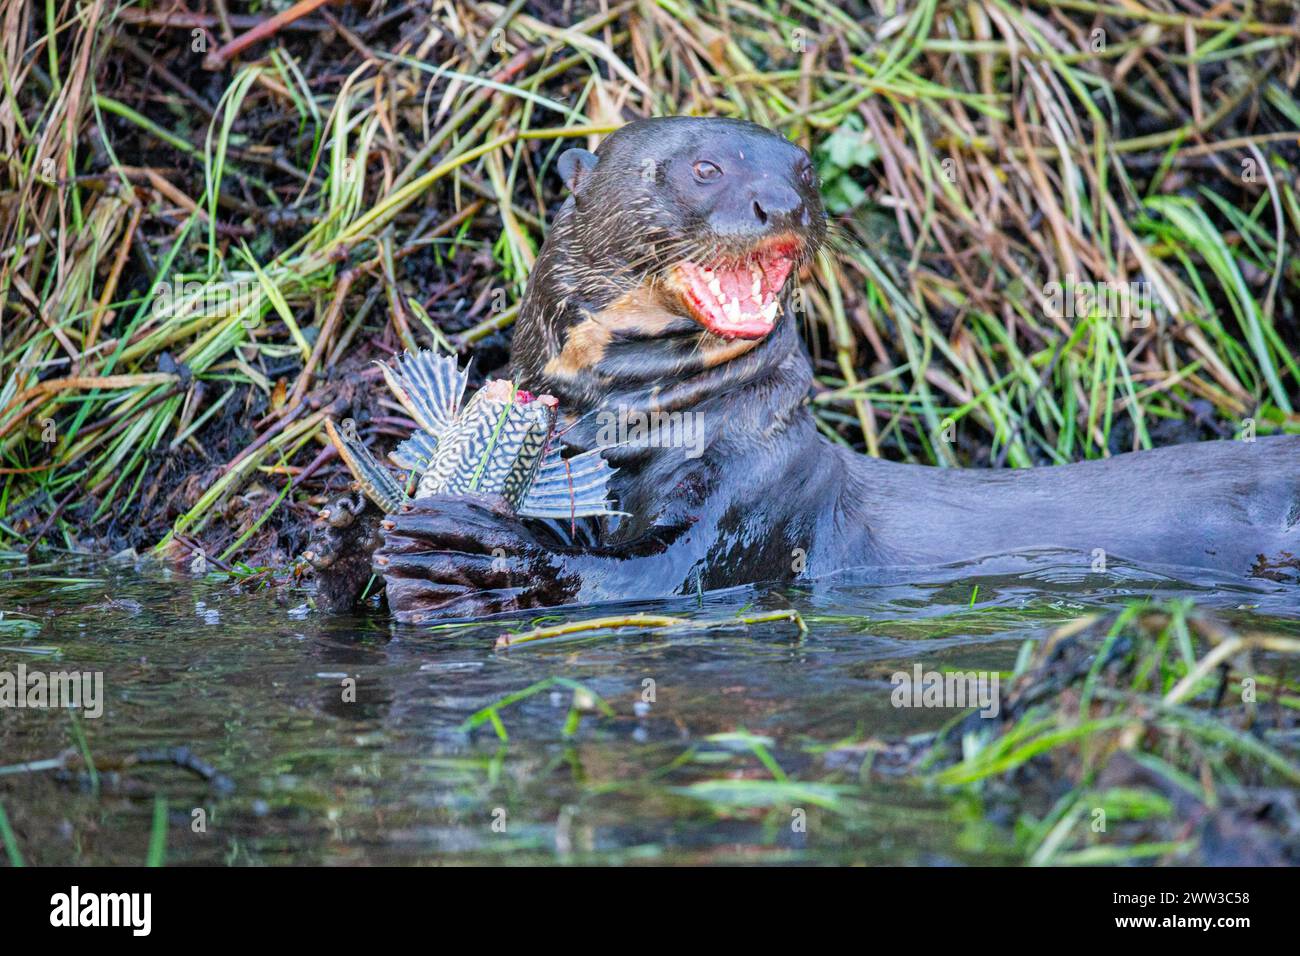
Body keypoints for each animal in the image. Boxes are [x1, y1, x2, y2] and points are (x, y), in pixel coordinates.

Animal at [371, 116, 1299, 623]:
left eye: (806, 170)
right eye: (705, 167)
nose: (784, 204)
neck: (636, 417)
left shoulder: (759, 497)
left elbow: (649, 576)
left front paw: (462, 554)